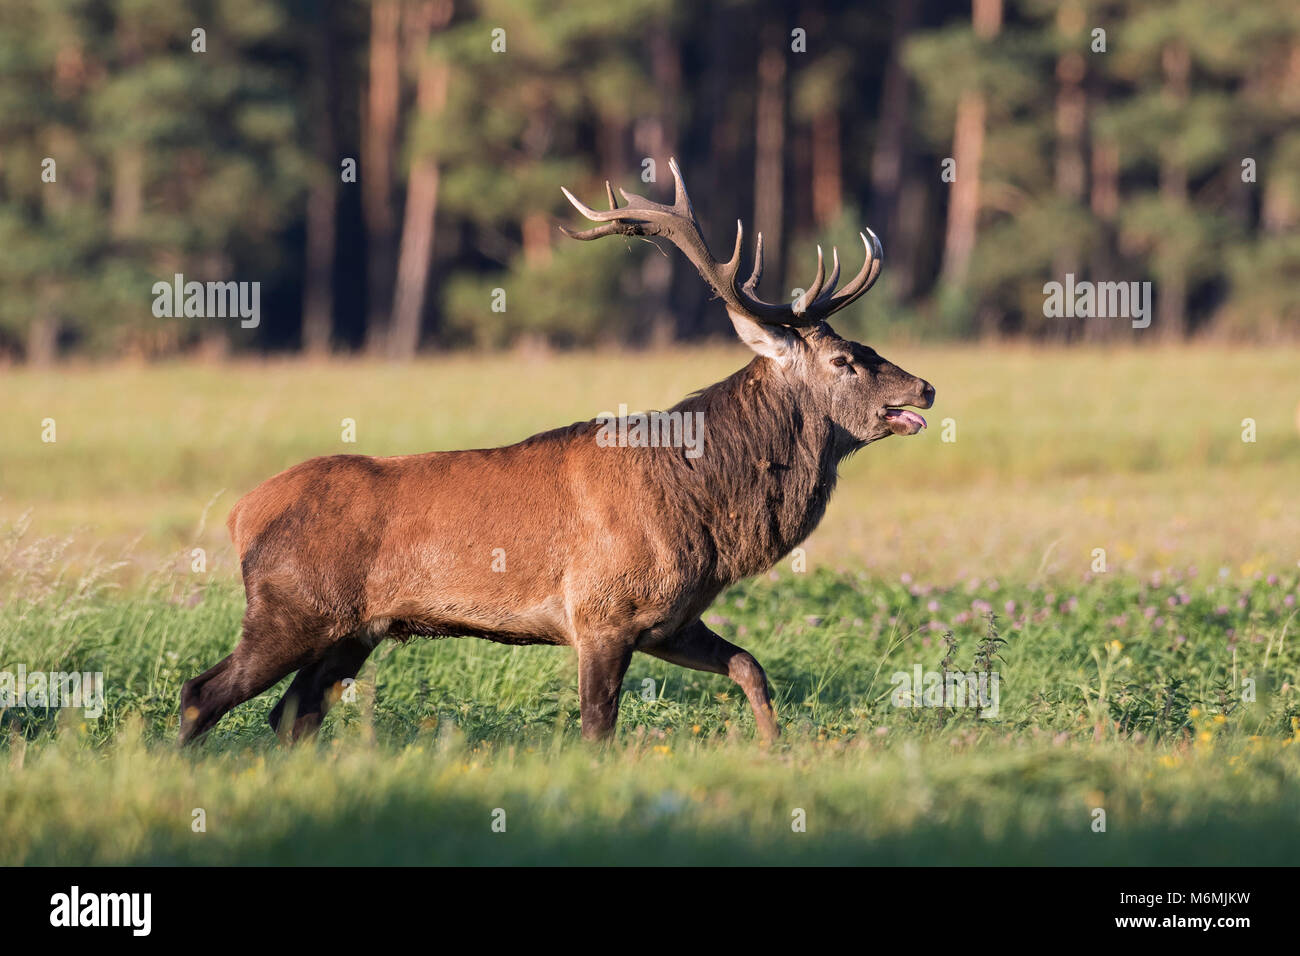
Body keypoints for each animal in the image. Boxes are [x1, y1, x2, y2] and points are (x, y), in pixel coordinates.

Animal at [179, 160, 934, 745]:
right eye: (845, 361)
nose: (924, 386)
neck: (707, 512)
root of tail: (241, 513)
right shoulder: (601, 612)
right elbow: (597, 728)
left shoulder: (670, 619)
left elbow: (753, 667)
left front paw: (774, 751)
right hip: (289, 610)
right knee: (203, 694)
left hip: (351, 634)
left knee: (291, 715)